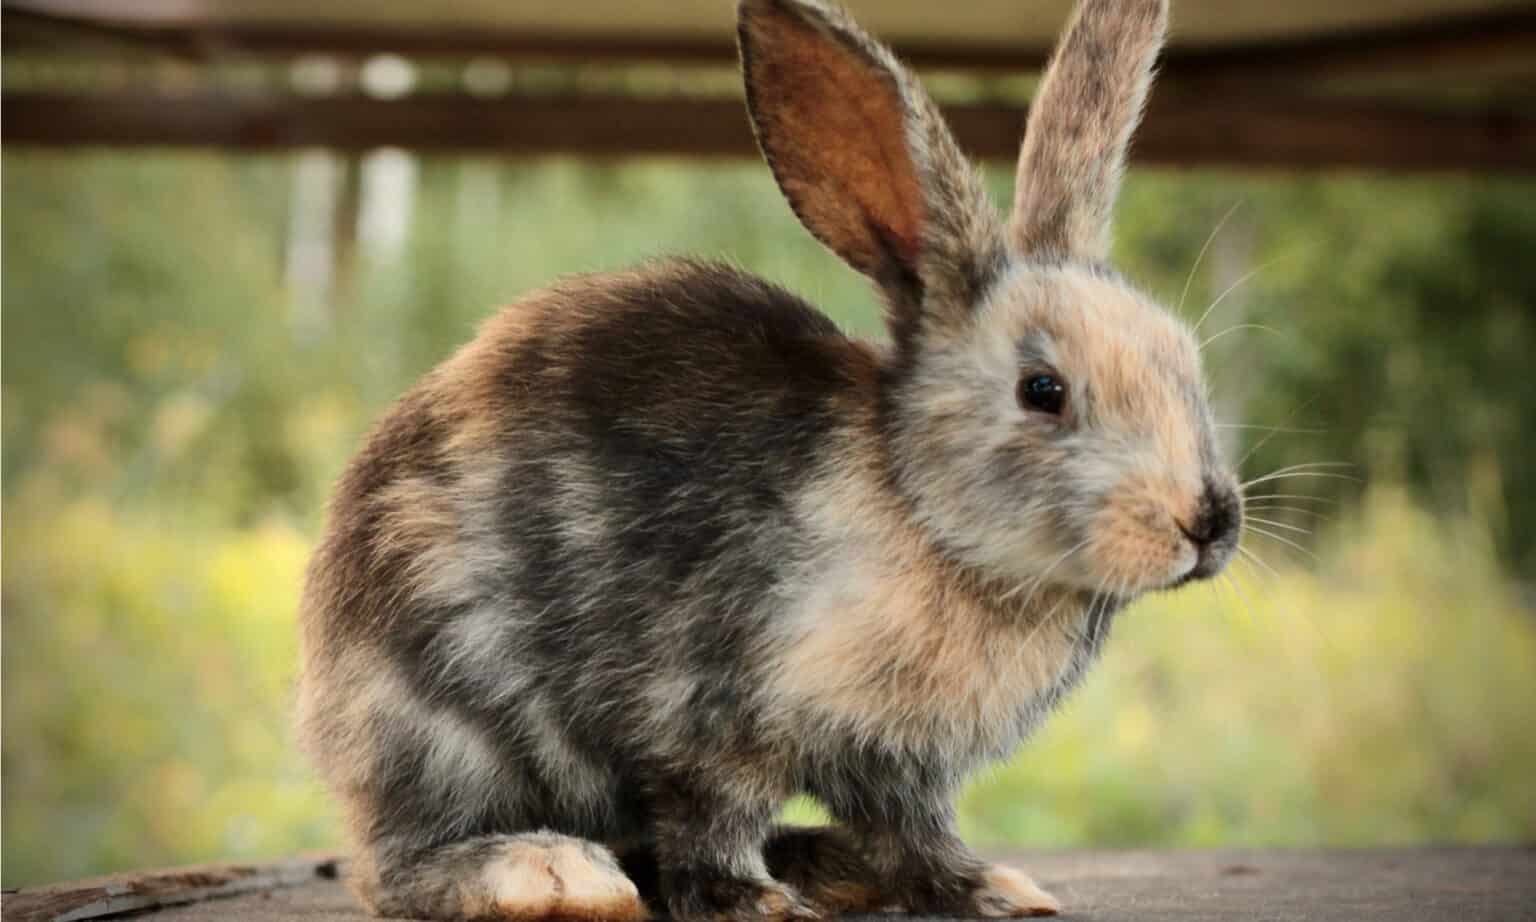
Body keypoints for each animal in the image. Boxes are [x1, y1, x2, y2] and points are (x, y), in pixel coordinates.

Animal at [296, 0, 1242, 919]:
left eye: (1186, 362)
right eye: (1043, 390)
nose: (1209, 522)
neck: (924, 517)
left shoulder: (901, 767)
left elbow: (919, 838)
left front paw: (994, 891)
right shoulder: (714, 716)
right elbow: (713, 818)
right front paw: (753, 902)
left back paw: (826, 866)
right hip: (444, 722)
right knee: (395, 865)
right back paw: (554, 875)